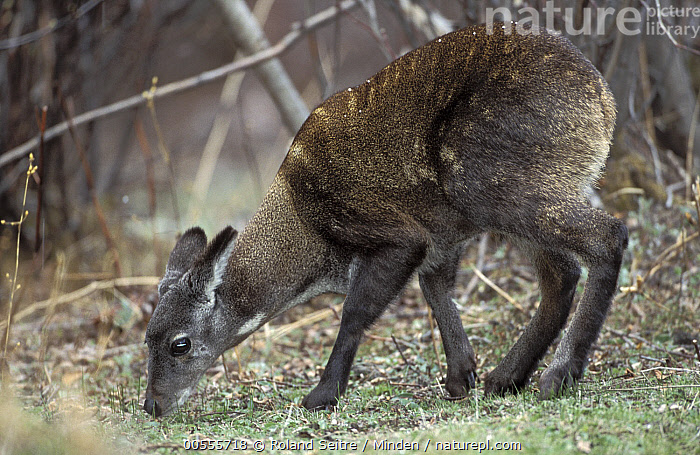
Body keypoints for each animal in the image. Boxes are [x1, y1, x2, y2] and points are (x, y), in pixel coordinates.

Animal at [143, 22, 628, 417]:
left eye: (180, 343)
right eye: (146, 339)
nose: (152, 406)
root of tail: (605, 102)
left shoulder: (396, 233)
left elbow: (356, 312)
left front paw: (322, 395)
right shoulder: (440, 238)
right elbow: (436, 291)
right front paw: (460, 377)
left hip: (484, 177)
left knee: (610, 235)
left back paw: (558, 375)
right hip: (521, 188)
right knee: (562, 273)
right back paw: (506, 377)